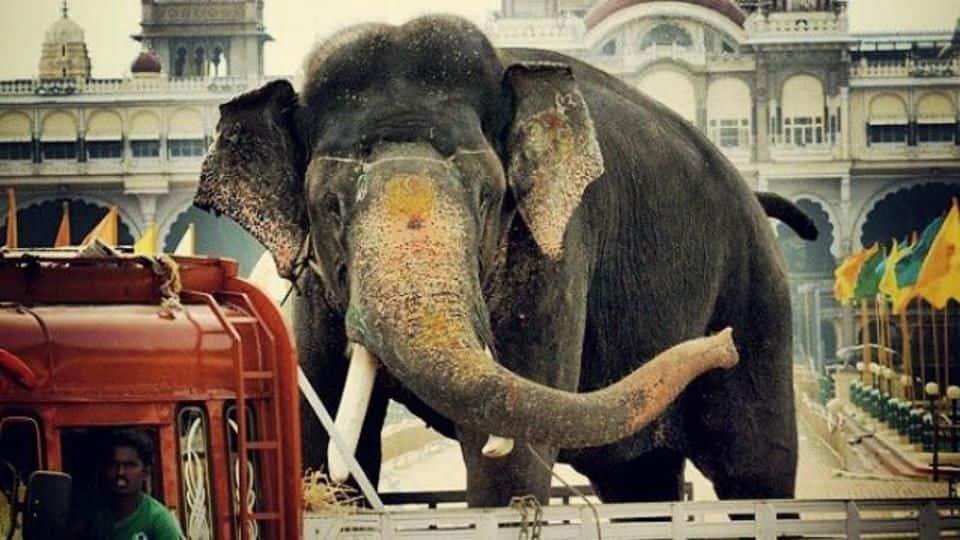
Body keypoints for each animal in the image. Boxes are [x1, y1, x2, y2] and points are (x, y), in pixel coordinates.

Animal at [196, 16, 812, 507]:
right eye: (330, 206)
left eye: (487, 196)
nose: (720, 345)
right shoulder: (311, 286)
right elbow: (318, 437)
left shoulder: (553, 251)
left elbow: (509, 459)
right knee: (637, 477)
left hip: (756, 289)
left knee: (755, 467)